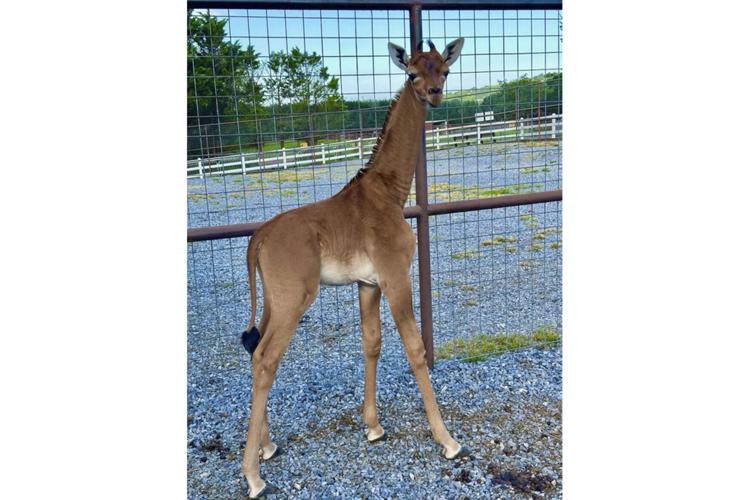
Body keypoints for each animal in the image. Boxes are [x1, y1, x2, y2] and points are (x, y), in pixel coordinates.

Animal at [239, 38, 466, 498]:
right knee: (266, 359)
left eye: (445, 70)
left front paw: (373, 426)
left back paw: (267, 447)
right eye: (412, 73)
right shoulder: (396, 276)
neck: (390, 193)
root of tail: (258, 238)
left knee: (255, 352)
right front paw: (447, 440)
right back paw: (253, 475)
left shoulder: (368, 283)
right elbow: (415, 348)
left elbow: (371, 343)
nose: (434, 94)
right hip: (294, 299)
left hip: (273, 300)